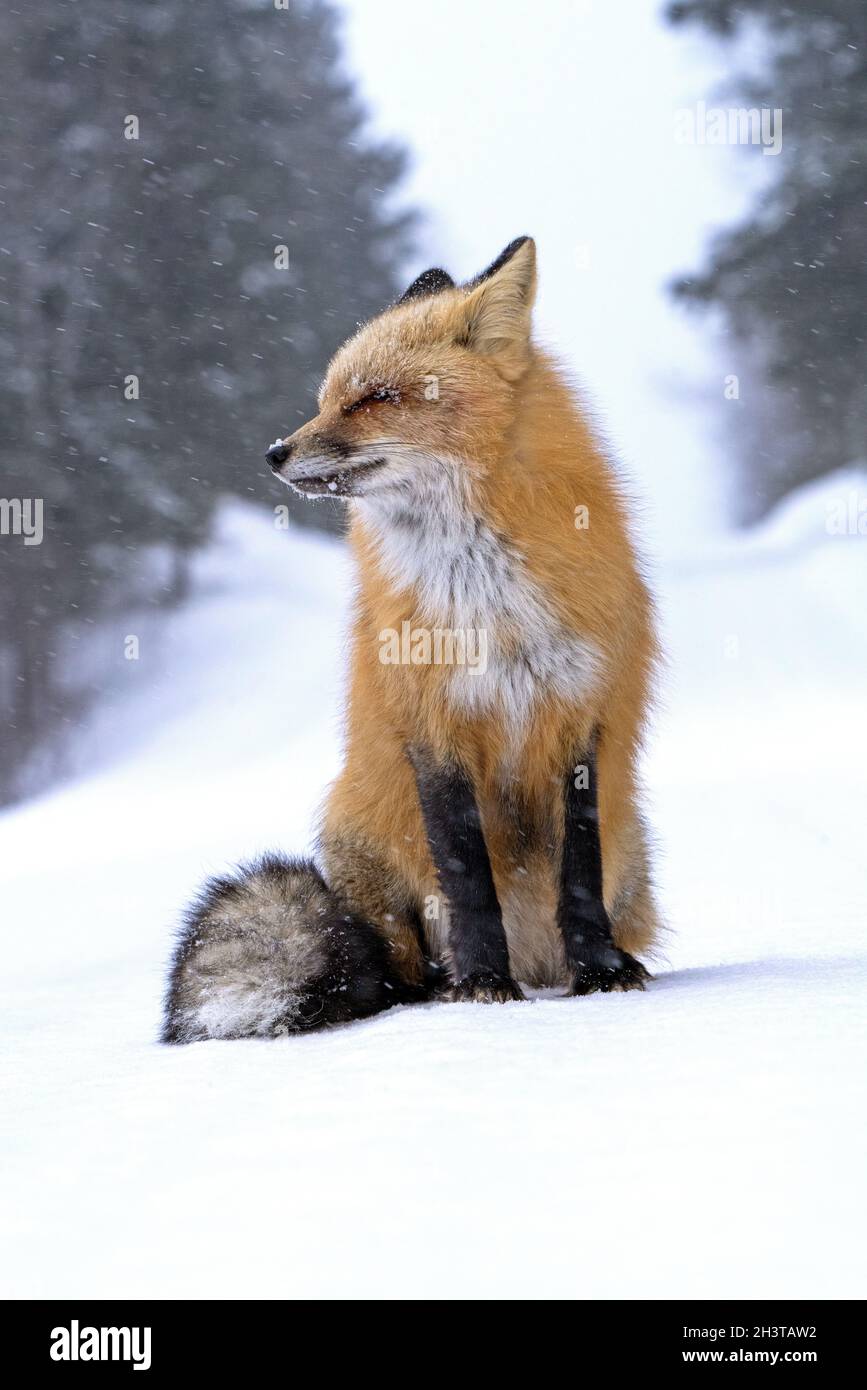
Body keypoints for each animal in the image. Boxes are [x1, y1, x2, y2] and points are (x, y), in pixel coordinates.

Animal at [162, 235, 662, 1042]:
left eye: (374, 398)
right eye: (329, 398)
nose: (274, 451)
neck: (488, 601)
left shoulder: (582, 715)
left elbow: (578, 876)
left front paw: (598, 975)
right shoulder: (433, 725)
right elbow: (466, 878)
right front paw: (484, 985)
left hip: (632, 839)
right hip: (365, 847)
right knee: (397, 973)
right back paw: (442, 984)